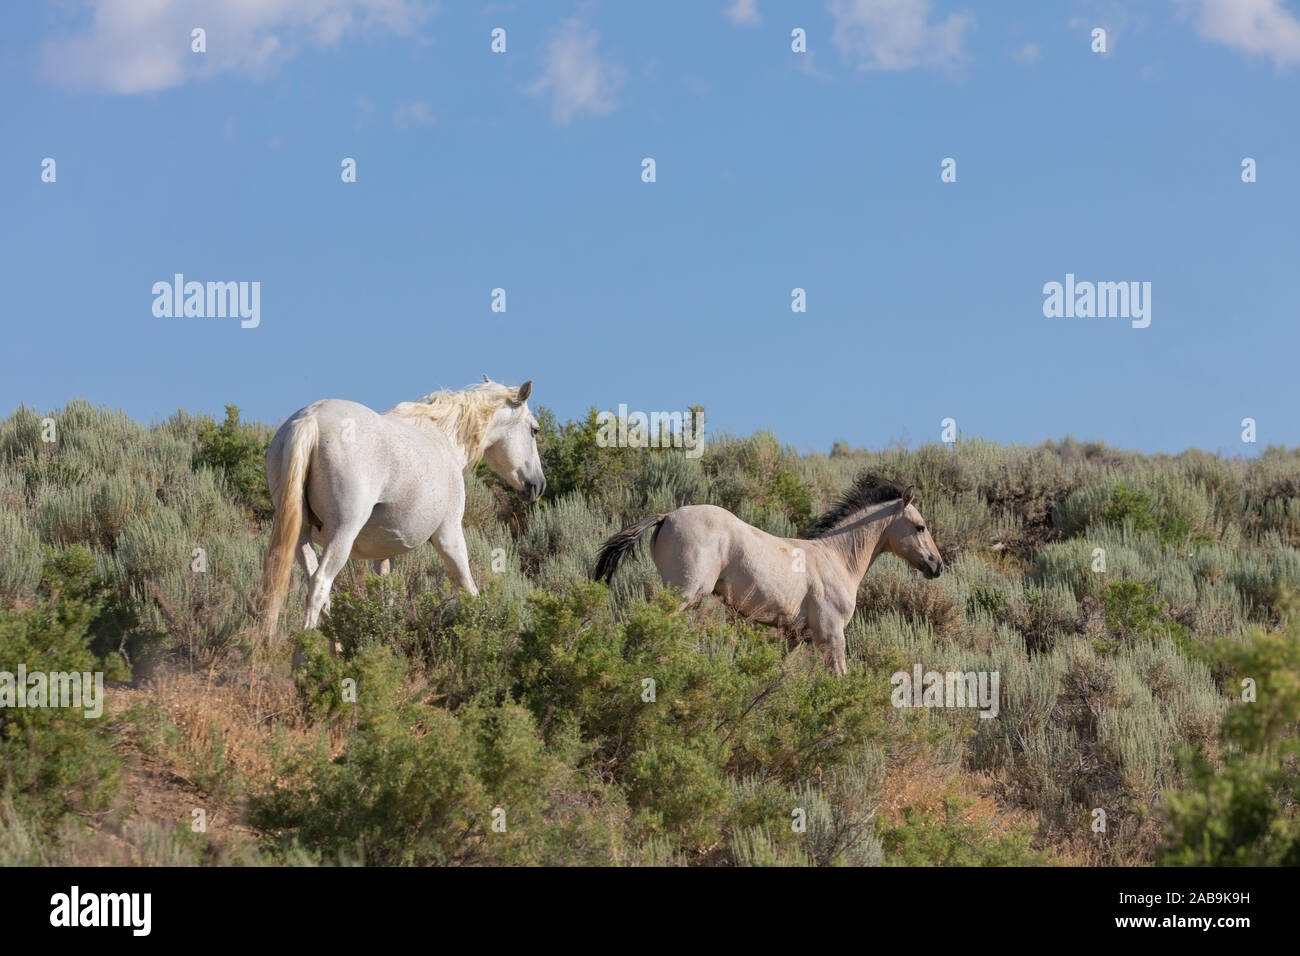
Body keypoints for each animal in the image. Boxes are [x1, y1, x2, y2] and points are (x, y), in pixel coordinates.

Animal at [259, 378, 546, 644]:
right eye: (534, 430)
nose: (539, 485)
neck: (442, 439)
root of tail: (312, 418)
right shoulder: (449, 536)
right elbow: (468, 588)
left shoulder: (383, 555)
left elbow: (386, 598)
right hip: (342, 533)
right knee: (320, 583)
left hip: (300, 536)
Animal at [592, 474, 943, 675]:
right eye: (920, 526)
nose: (937, 565)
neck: (836, 558)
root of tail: (666, 516)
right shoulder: (831, 635)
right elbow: (840, 678)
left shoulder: (794, 637)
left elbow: (779, 673)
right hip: (685, 593)